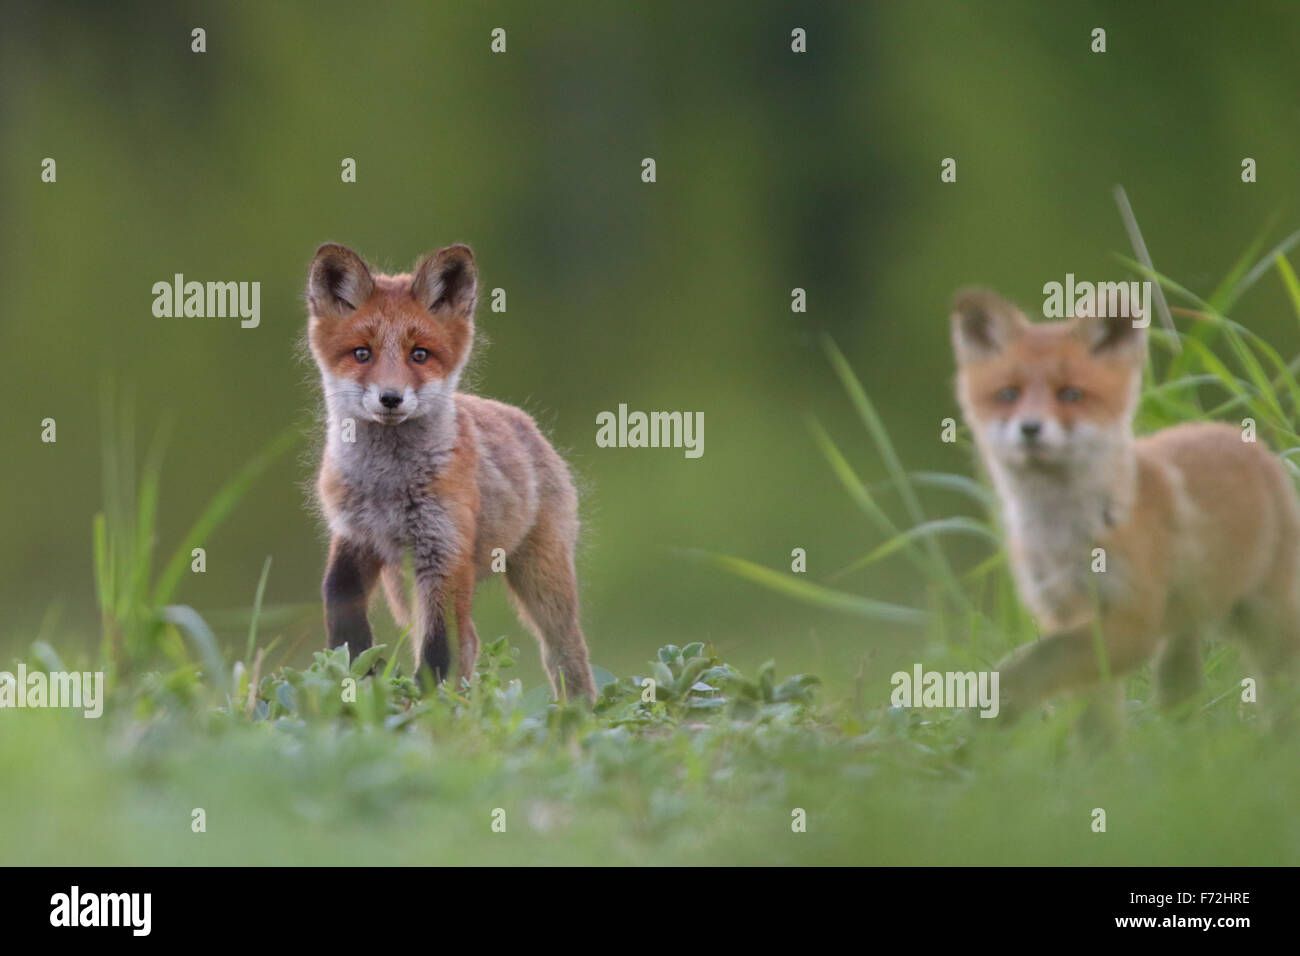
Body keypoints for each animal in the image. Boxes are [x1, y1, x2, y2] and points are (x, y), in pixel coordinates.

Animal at [305, 241, 598, 702]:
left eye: (419, 355)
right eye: (362, 353)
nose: (391, 398)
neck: (389, 483)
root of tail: (522, 419)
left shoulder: (444, 549)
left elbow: (439, 649)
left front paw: (428, 703)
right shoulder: (355, 536)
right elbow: (338, 598)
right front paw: (353, 668)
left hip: (541, 578)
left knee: (562, 652)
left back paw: (578, 708)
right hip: (403, 587)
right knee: (472, 640)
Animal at [950, 287, 1300, 726]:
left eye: (1070, 394)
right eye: (1008, 395)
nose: (1030, 428)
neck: (1062, 536)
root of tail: (1243, 436)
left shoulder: (1133, 624)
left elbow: (1043, 659)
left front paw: (998, 703)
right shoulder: (1060, 610)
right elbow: (1092, 718)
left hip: (1265, 622)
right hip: (1184, 634)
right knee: (1183, 700)